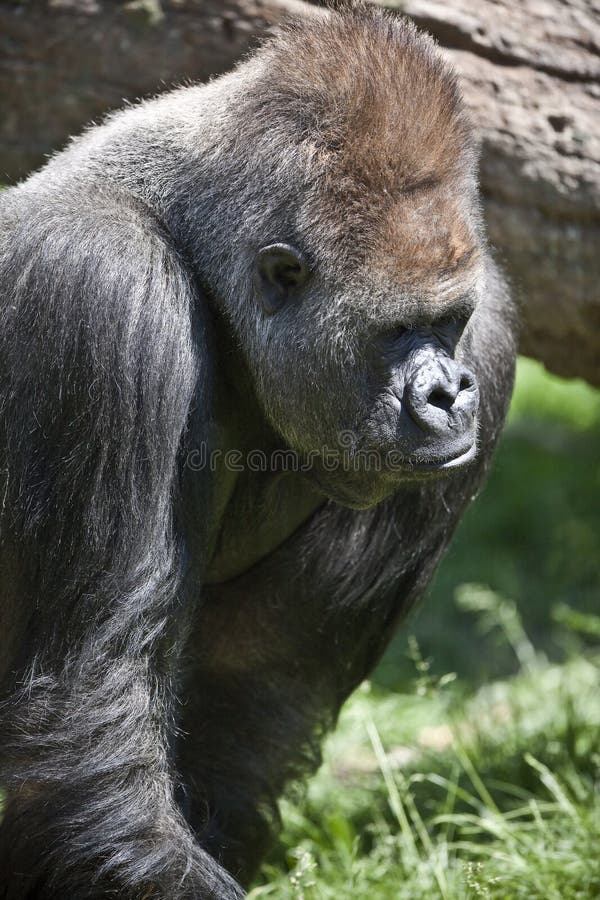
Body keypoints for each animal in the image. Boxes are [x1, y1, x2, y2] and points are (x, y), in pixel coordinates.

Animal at [0, 6, 516, 899]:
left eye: (449, 323)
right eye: (397, 330)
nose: (451, 393)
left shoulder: (491, 339)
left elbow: (258, 687)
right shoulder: (102, 283)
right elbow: (87, 718)